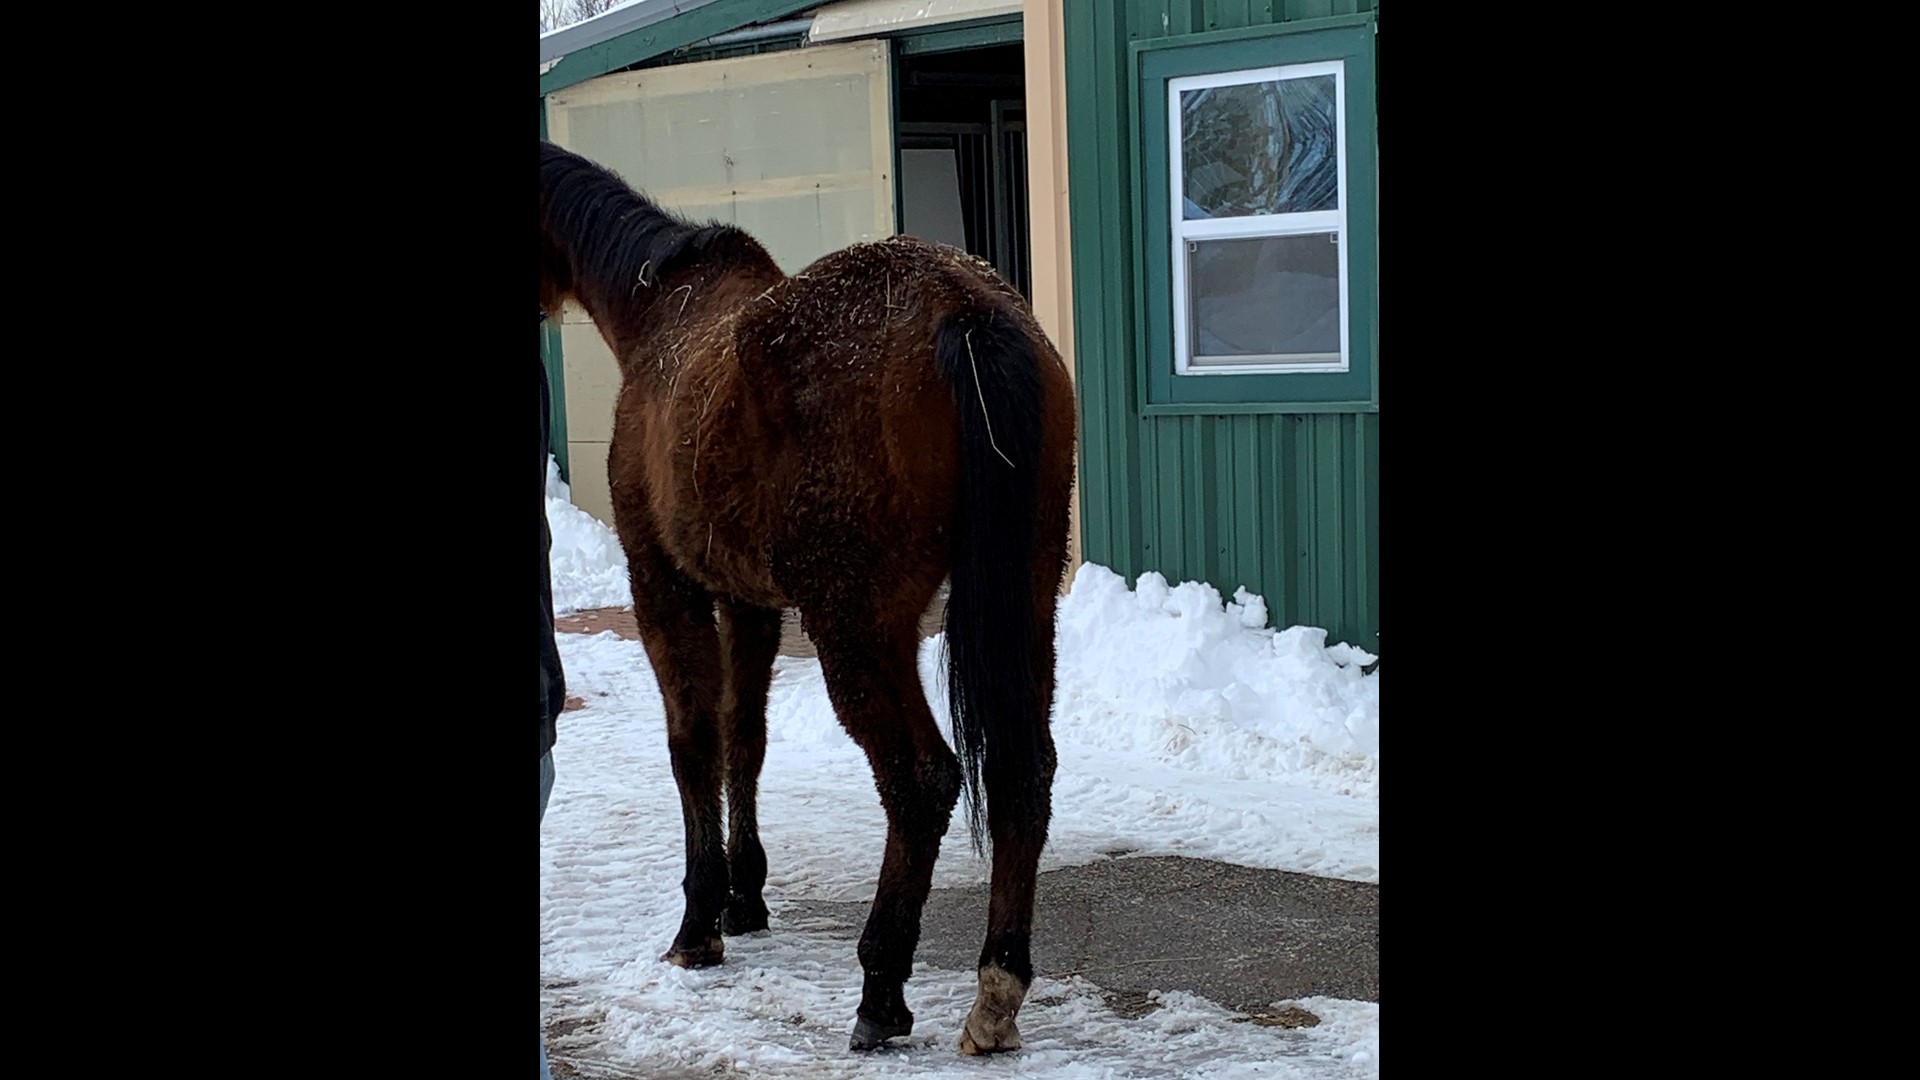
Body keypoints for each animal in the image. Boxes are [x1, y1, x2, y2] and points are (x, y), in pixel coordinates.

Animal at [538, 140, 1077, 1055]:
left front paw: (700, 924)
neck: (658, 316)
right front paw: (745, 898)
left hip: (857, 625)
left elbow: (693, 743)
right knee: (1022, 772)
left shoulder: (665, 586)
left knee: (920, 780)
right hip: (1026, 600)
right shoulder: (750, 603)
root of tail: (966, 311)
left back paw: (881, 989)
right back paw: (996, 987)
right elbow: (744, 739)